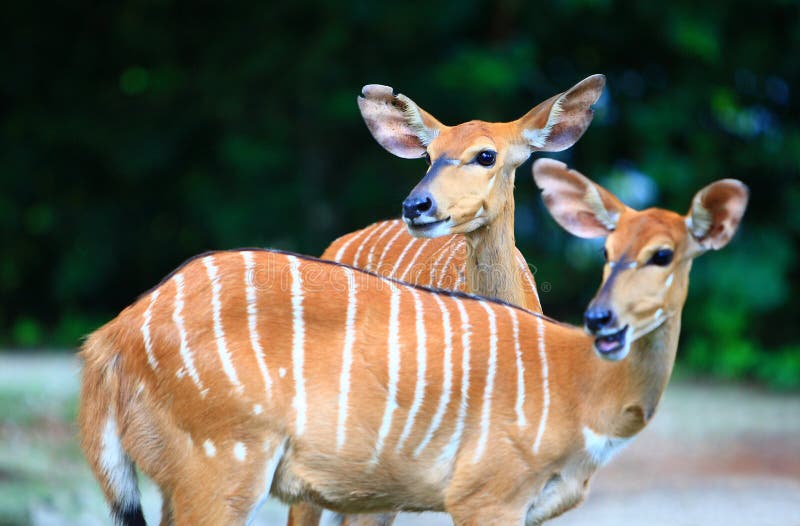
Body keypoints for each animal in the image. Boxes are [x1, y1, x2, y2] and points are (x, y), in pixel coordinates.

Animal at [78, 160, 748, 526]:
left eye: (665, 253)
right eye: (606, 252)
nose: (603, 320)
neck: (578, 390)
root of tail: (111, 336)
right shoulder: (486, 494)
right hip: (224, 464)